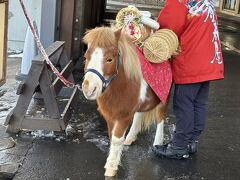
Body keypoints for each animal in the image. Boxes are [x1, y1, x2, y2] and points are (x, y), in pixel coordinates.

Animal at [81, 26, 168, 177]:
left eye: (109, 59)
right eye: (86, 57)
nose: (89, 89)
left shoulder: (124, 117)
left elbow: (116, 140)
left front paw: (111, 167)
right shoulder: (110, 116)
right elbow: (112, 137)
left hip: (163, 100)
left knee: (160, 118)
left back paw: (157, 143)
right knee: (139, 114)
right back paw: (130, 138)